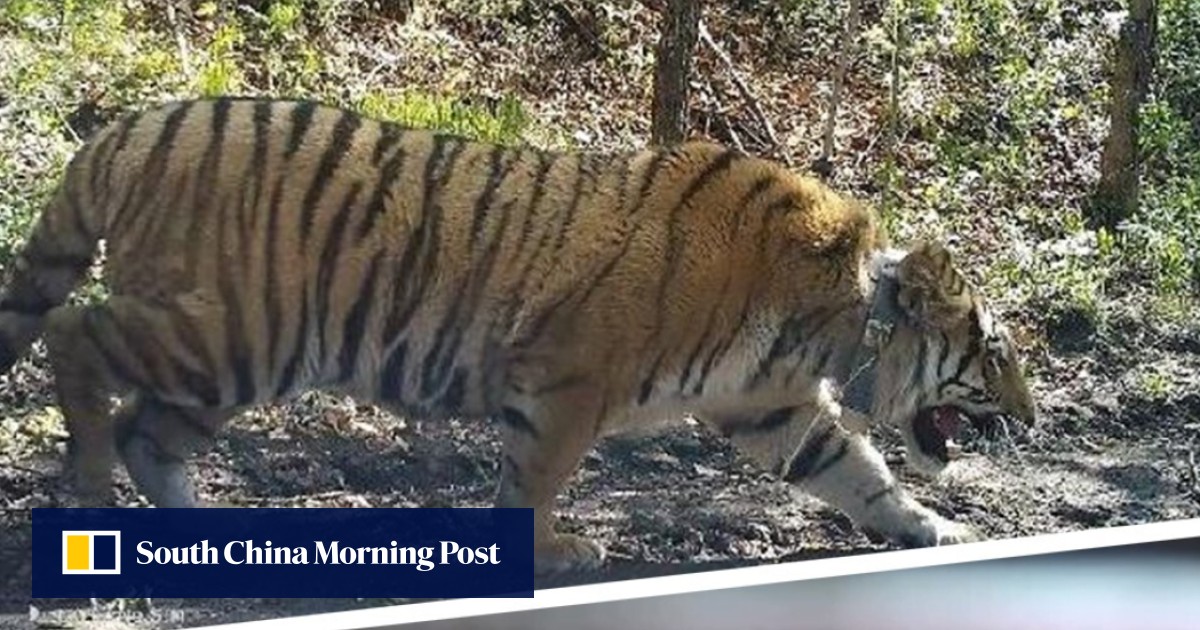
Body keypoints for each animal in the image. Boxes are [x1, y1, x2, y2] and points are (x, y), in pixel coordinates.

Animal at [0, 97, 1036, 575]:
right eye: (996, 353)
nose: (1028, 418)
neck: (837, 325)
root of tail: (127, 129)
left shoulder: (771, 408)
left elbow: (858, 472)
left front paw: (933, 528)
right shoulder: (569, 383)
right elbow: (535, 480)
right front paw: (554, 553)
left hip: (235, 362)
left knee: (146, 427)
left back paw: (194, 526)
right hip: (225, 333)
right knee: (75, 337)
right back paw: (89, 487)